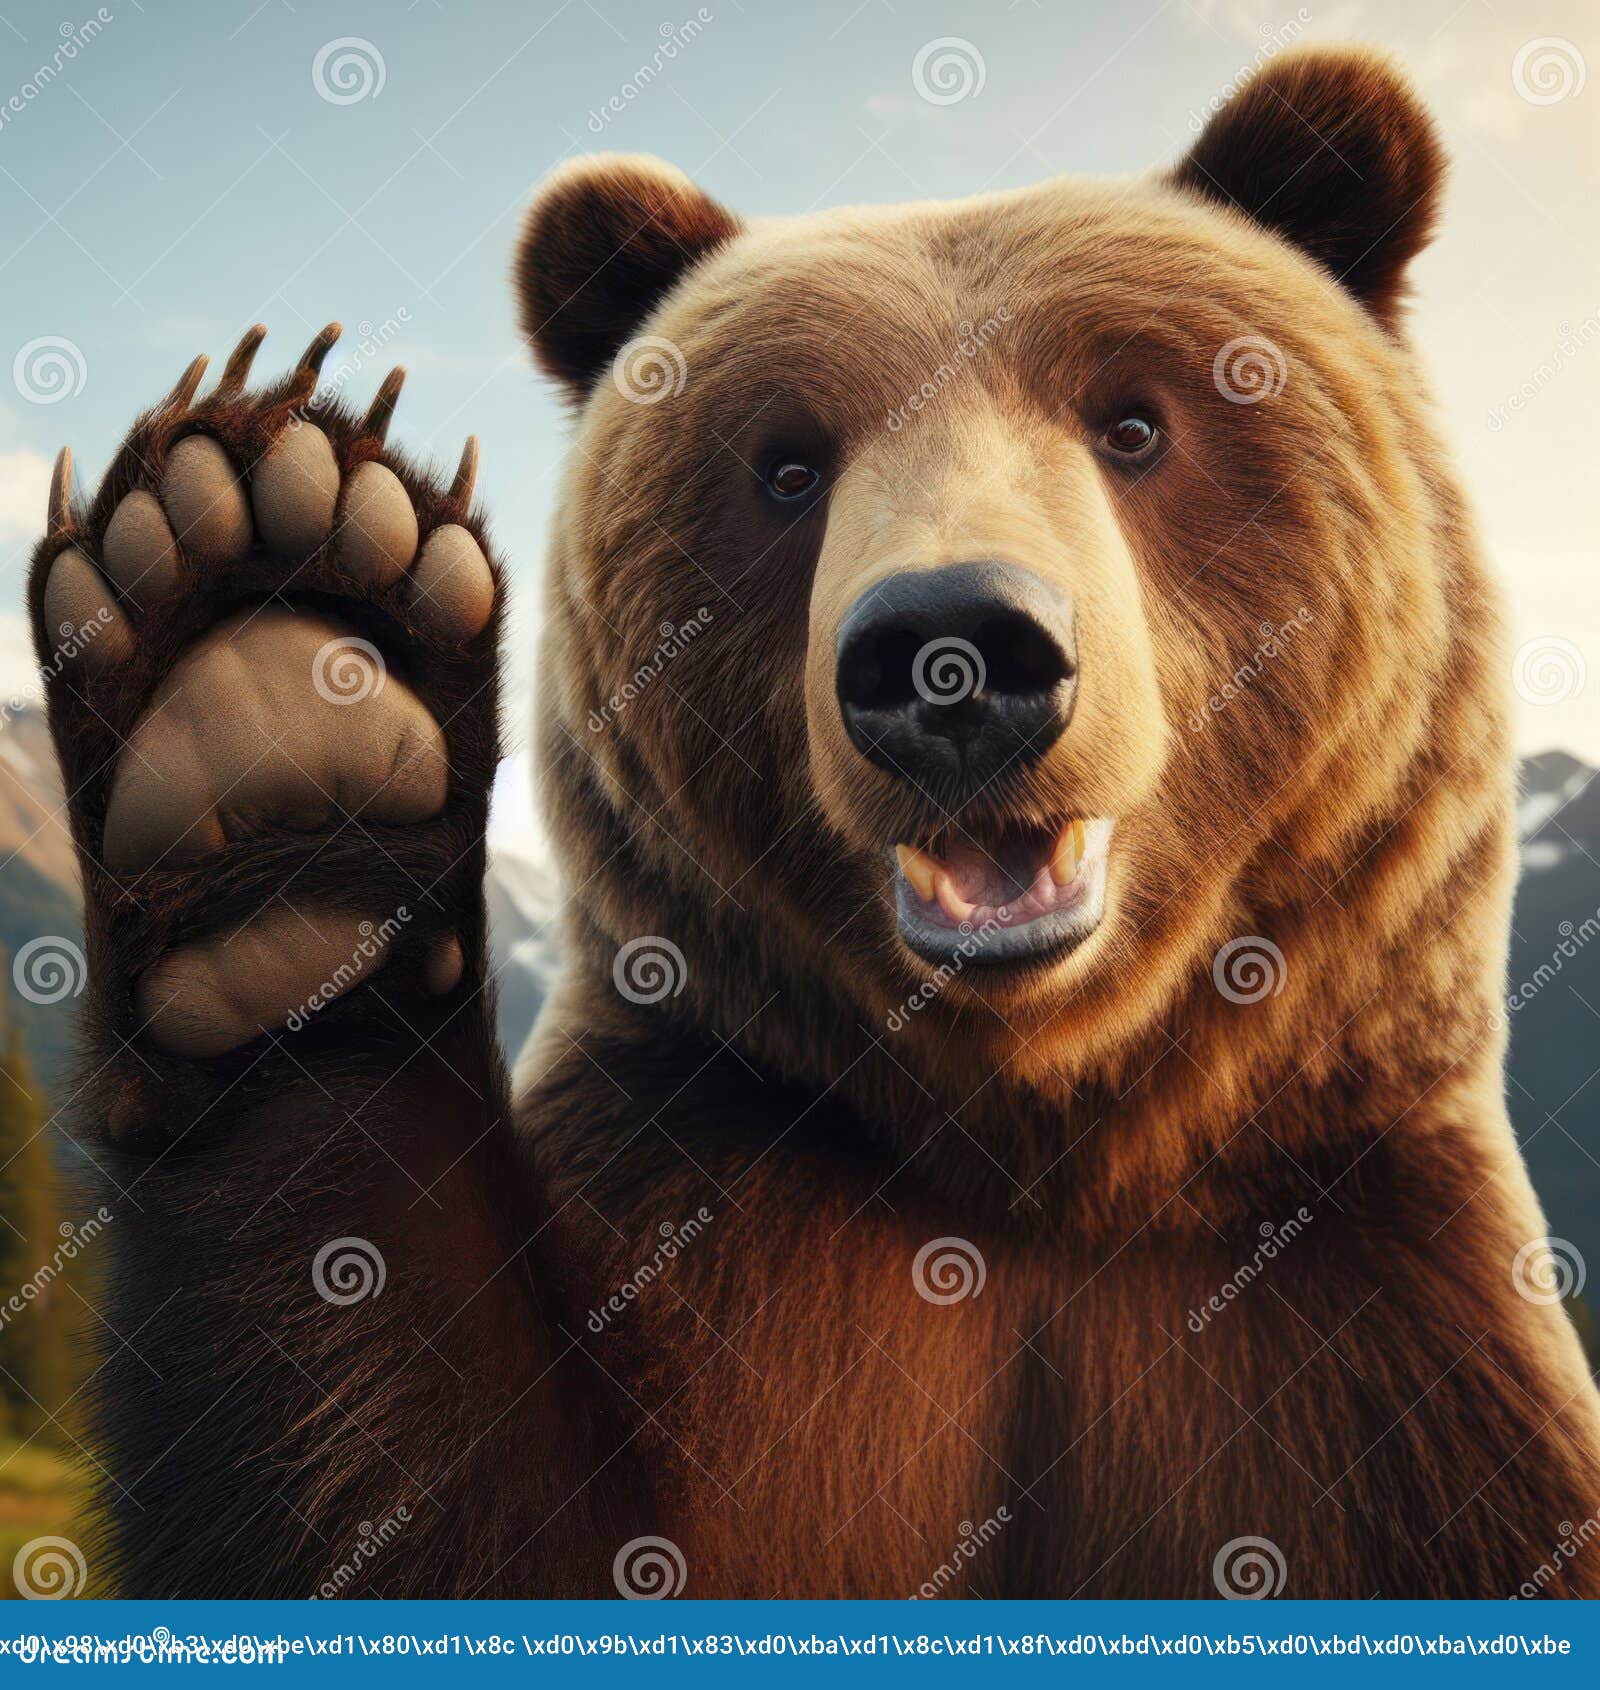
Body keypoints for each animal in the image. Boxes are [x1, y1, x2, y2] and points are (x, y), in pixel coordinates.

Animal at [26, 45, 1600, 1599]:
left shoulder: (1369, 1325)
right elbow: (428, 1482)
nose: (954, 653)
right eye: (788, 464)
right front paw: (270, 628)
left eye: (1137, 421)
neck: (1039, 1158)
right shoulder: (721, 1195)